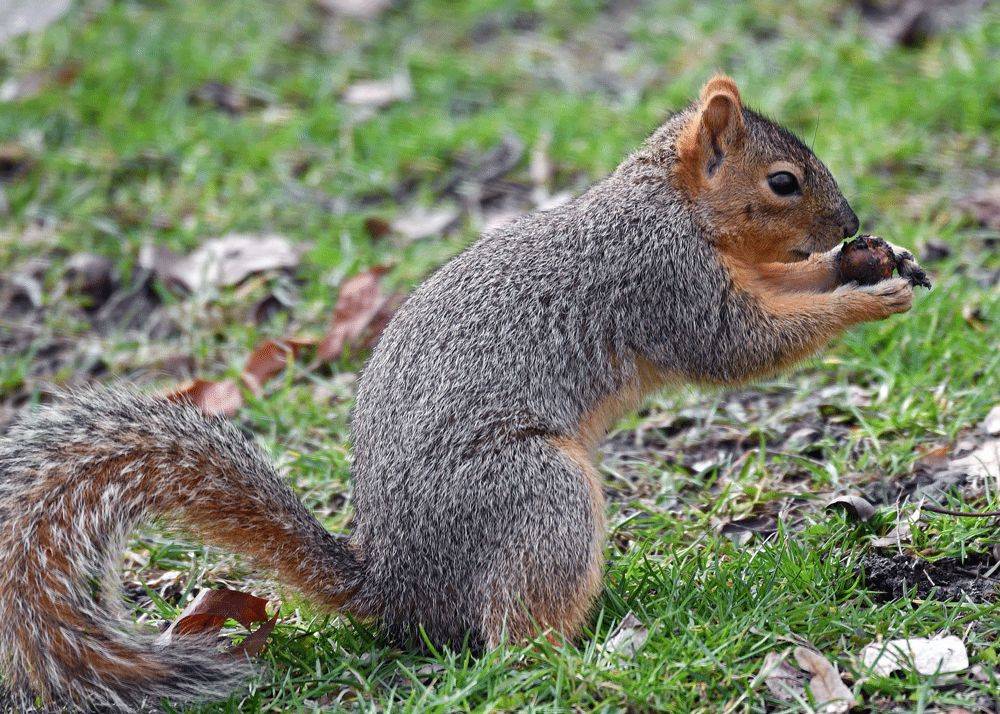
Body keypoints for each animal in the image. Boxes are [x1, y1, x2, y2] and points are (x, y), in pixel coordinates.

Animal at [0, 75, 928, 711]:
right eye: (782, 182)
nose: (848, 225)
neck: (669, 201)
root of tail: (396, 589)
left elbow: (779, 293)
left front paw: (863, 264)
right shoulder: (662, 279)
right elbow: (740, 346)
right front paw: (866, 297)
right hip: (537, 494)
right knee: (511, 640)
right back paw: (587, 658)